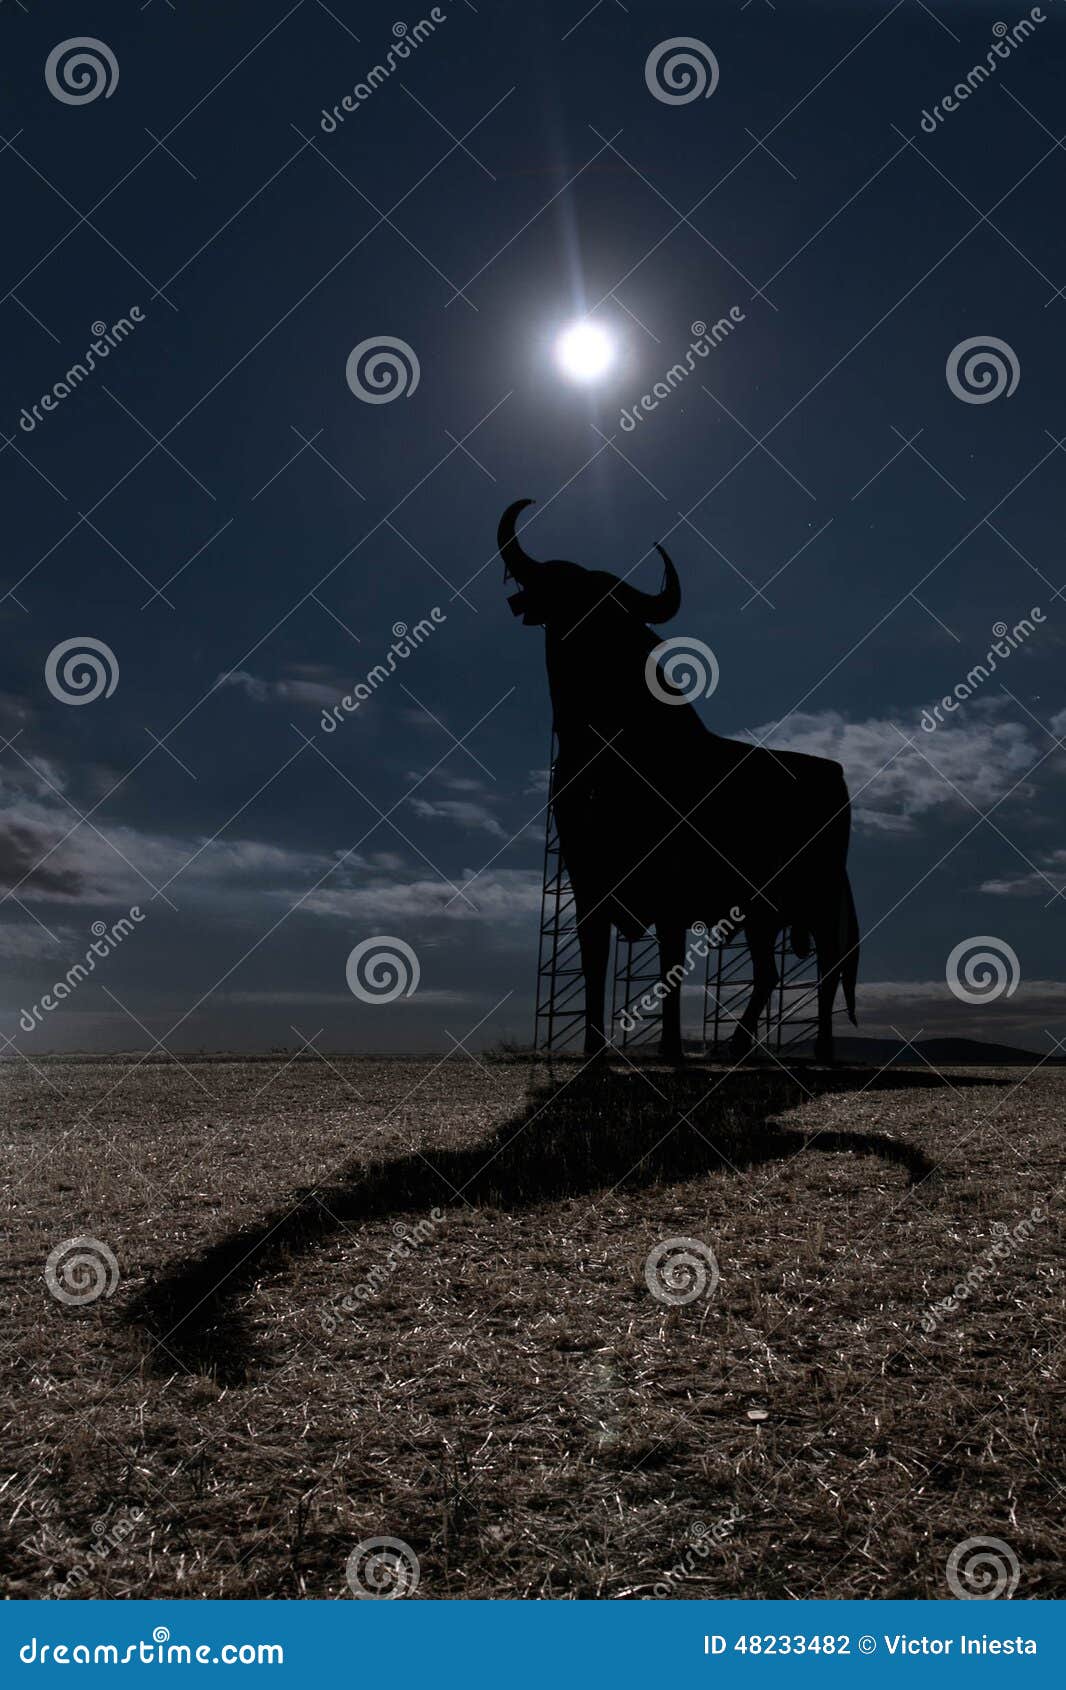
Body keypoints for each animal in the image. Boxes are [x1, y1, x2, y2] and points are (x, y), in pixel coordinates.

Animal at [500, 498, 859, 1064]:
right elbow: (593, 958)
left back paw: (820, 1049)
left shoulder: (669, 884)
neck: (607, 750)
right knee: (768, 972)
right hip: (761, 912)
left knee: (826, 967)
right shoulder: (586, 877)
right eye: (567, 599)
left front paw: (669, 1048)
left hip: (818, 897)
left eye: (612, 608)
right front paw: (595, 1050)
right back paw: (734, 1046)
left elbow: (669, 959)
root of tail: (835, 772)